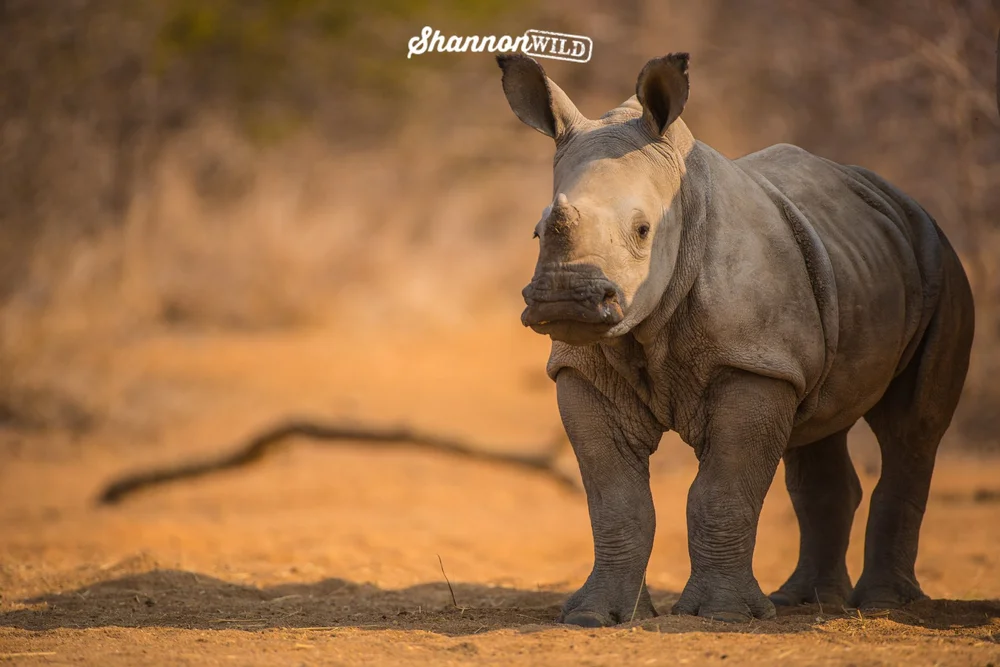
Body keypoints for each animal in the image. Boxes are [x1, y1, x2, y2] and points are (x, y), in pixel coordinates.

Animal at [496, 52, 975, 626]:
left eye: (642, 231)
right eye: (538, 231)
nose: (565, 299)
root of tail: (905, 200)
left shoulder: (754, 363)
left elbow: (720, 491)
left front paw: (719, 615)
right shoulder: (583, 370)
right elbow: (615, 501)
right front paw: (595, 616)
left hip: (939, 259)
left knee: (910, 430)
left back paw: (881, 604)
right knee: (819, 423)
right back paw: (801, 601)